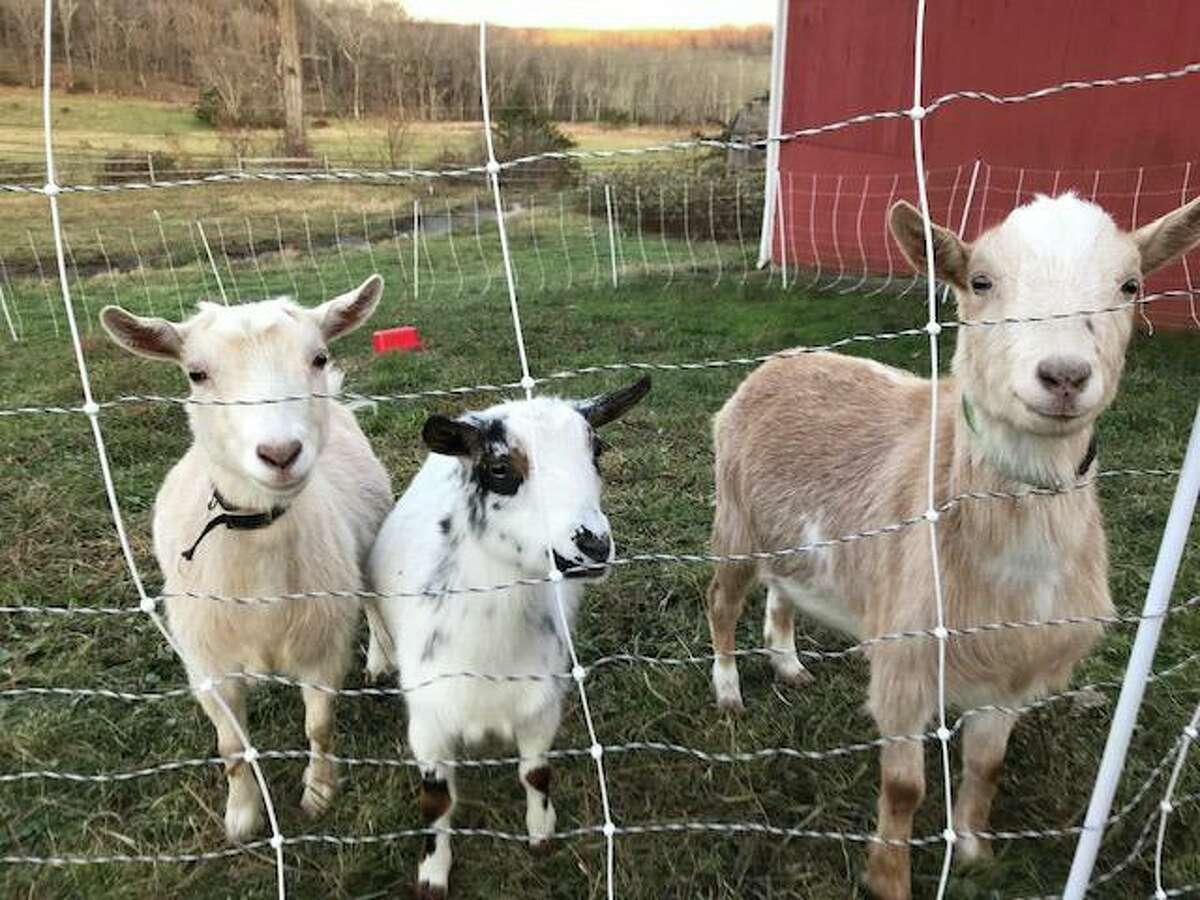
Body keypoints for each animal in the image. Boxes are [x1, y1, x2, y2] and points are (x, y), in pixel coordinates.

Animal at [100, 275, 394, 842]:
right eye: (196, 373)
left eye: (318, 356)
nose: (280, 453)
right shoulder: (207, 662)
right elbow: (232, 747)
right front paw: (241, 816)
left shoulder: (323, 645)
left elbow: (319, 726)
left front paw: (319, 794)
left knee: (373, 600)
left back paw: (381, 659)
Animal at [368, 377, 650, 900]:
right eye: (500, 469)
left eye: (597, 450)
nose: (592, 544)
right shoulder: (428, 722)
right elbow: (435, 800)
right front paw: (433, 873)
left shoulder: (540, 707)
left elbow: (536, 772)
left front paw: (541, 834)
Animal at [704, 193, 1200, 899]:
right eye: (981, 282)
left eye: (1129, 285)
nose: (1064, 375)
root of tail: (785, 359)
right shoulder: (905, 658)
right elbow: (904, 788)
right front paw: (889, 878)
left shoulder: (1013, 669)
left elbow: (987, 768)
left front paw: (973, 851)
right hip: (736, 520)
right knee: (722, 602)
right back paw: (728, 690)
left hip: (792, 533)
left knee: (784, 589)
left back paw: (788, 662)